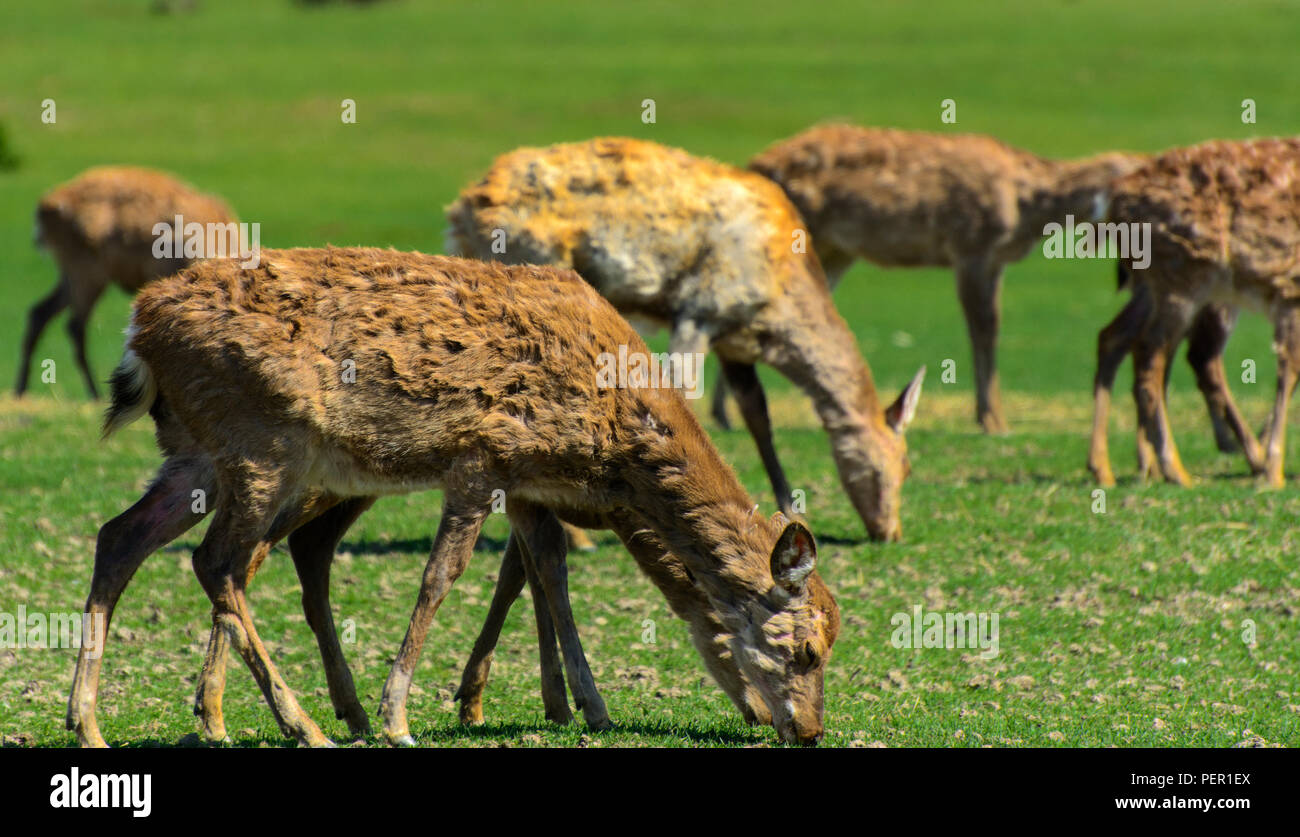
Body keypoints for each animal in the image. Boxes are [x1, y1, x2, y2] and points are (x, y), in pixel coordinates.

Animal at [18, 166, 238, 398]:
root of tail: (42, 211)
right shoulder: (158, 270)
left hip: (70, 272)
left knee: (39, 312)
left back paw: (21, 389)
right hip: (86, 269)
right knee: (74, 325)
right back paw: (94, 392)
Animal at [69, 247, 842, 748]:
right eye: (806, 650)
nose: (808, 729)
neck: (614, 435)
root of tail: (139, 331)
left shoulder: (528, 478)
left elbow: (547, 574)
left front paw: (585, 705)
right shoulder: (482, 456)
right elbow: (442, 577)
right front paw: (399, 718)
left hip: (199, 457)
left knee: (122, 536)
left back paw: (91, 724)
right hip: (264, 443)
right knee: (221, 561)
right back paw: (303, 724)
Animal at [446, 137, 925, 543]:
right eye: (903, 466)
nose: (892, 533)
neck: (776, 305)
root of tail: (457, 215)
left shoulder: (734, 342)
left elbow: (757, 414)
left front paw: (792, 510)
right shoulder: (701, 308)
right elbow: (681, 391)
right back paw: (576, 537)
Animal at [1098, 137, 1300, 489]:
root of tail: (1115, 198)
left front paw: (1269, 464)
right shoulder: (1291, 288)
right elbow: (1289, 370)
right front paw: (1272, 471)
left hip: (1162, 284)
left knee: (1118, 338)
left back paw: (1109, 467)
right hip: (1185, 274)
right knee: (1157, 354)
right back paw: (1176, 468)